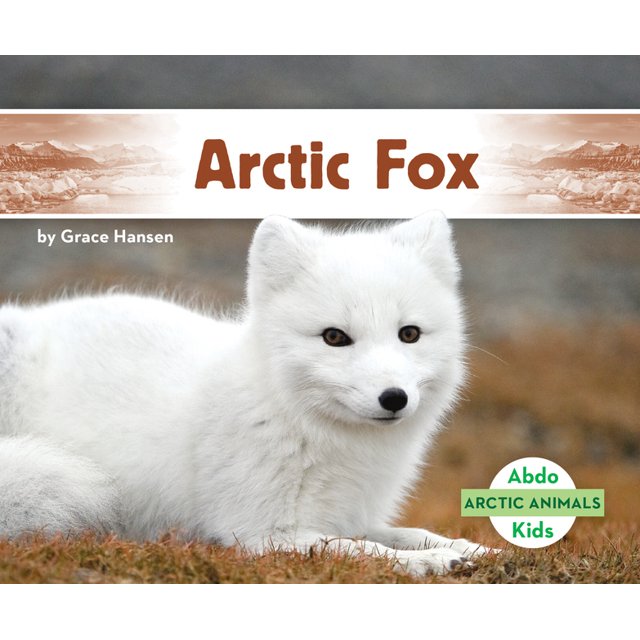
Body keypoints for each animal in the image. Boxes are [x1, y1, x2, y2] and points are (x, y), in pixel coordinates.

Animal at [0, 213, 492, 576]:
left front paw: (469, 547)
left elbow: (402, 533)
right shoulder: (263, 533)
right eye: (334, 337)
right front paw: (429, 561)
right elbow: (361, 550)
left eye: (409, 334)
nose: (394, 398)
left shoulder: (351, 516)